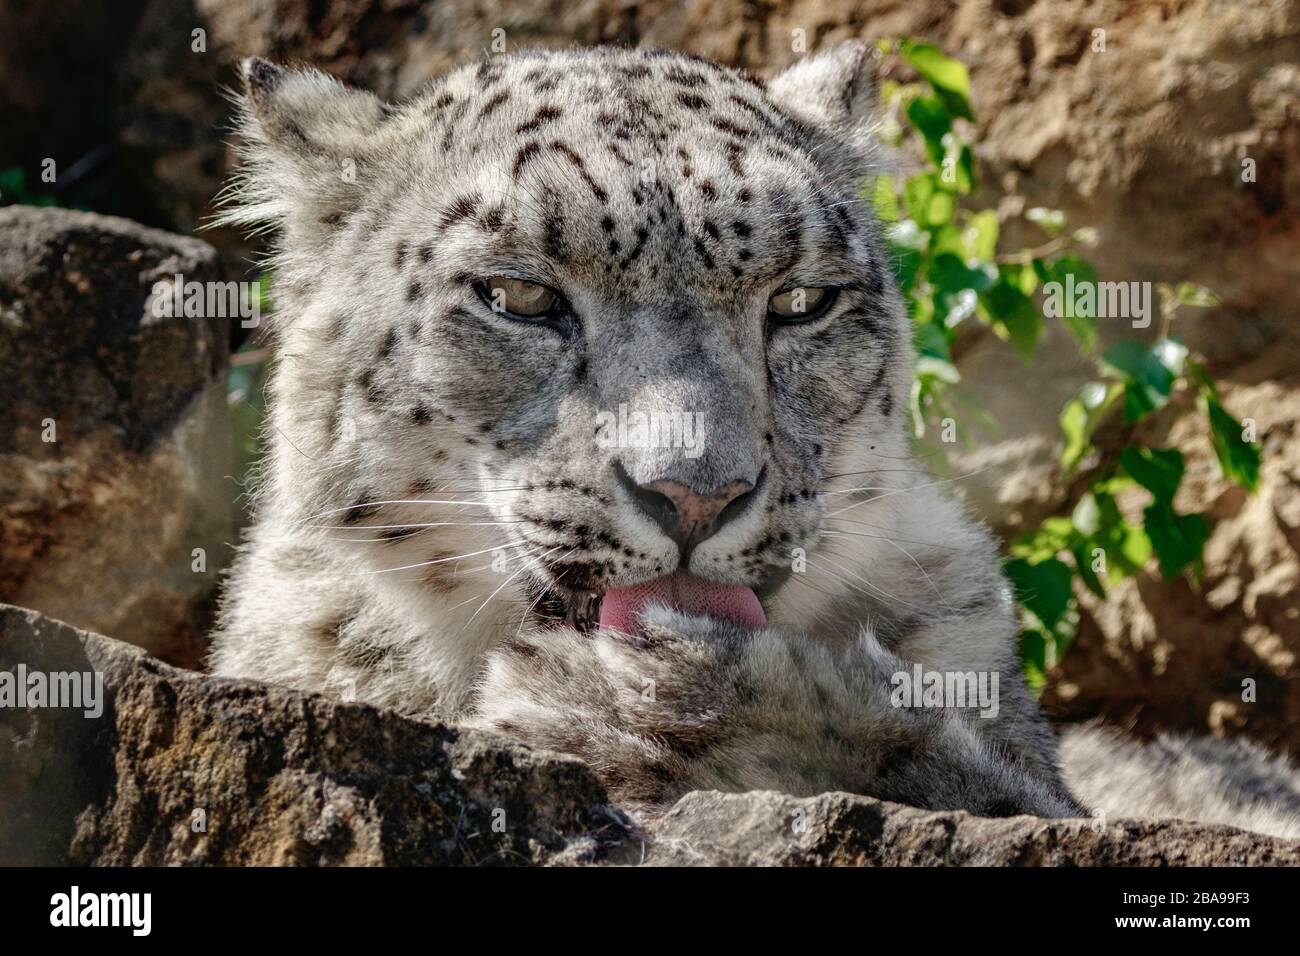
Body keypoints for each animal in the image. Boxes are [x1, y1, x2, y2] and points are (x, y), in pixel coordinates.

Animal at [208, 42, 1300, 835]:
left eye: (803, 301)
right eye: (517, 296)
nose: (697, 493)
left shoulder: (1049, 784)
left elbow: (989, 786)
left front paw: (658, 706)